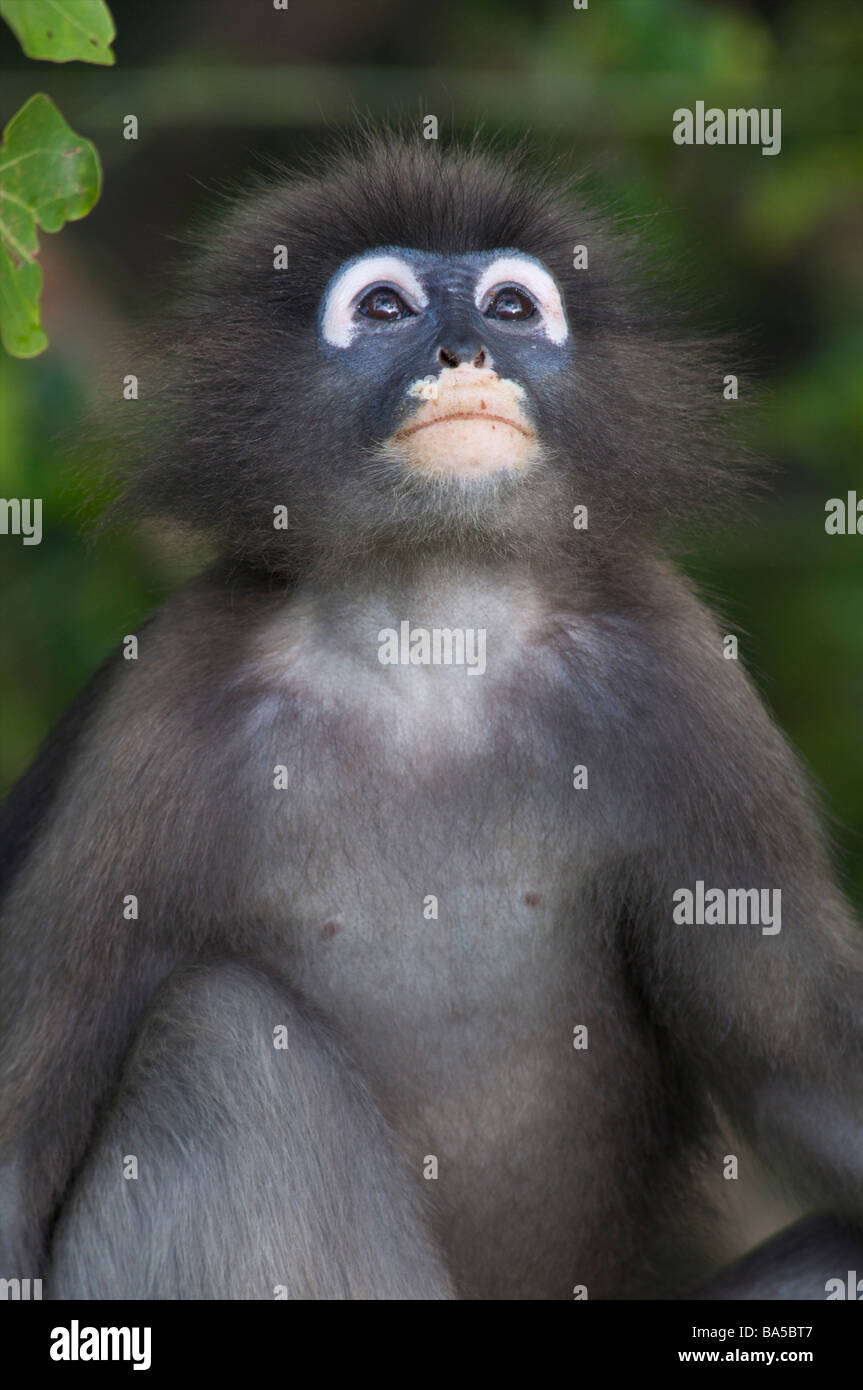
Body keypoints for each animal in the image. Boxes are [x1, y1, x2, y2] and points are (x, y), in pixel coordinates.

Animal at [0, 131, 861, 1302]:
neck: (431, 648)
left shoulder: (677, 677)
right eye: (383, 308)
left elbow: (799, 1068)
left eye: (509, 306)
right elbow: (20, 1138)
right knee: (228, 1038)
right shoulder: (161, 715)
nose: (464, 351)